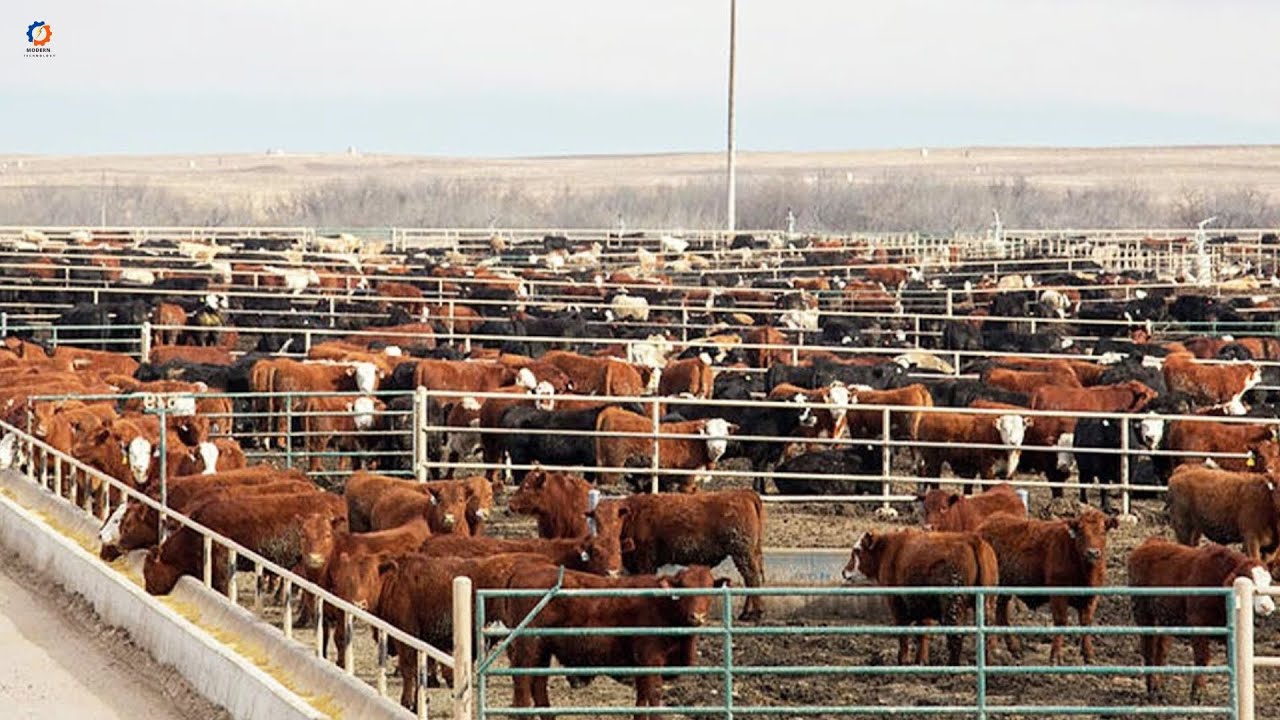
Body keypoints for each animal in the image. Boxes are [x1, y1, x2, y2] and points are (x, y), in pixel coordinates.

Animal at [842, 529, 999, 665]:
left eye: (857, 551)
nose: (844, 572)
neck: (888, 550)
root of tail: (973, 540)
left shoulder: (896, 603)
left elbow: (903, 632)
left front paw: (903, 660)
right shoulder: (923, 607)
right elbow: (923, 633)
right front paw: (921, 660)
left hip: (953, 606)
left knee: (956, 636)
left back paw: (952, 665)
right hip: (988, 604)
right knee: (988, 636)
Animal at [977, 509, 1118, 663]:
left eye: (1103, 532)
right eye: (1081, 532)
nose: (1092, 552)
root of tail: (986, 524)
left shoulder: (1091, 597)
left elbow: (1086, 623)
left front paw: (1089, 655)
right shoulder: (1058, 593)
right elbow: (1061, 621)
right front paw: (1055, 657)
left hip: (1005, 589)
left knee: (1000, 613)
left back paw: (1013, 649)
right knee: (990, 615)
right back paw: (993, 652)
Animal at [1128, 539, 1275, 700]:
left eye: (1268, 583)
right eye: (1252, 583)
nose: (1267, 606)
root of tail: (1151, 542)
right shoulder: (1198, 625)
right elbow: (1202, 658)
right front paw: (1197, 692)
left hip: (1164, 620)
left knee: (1161, 651)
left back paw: (1159, 688)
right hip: (1144, 615)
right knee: (1148, 650)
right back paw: (1152, 688)